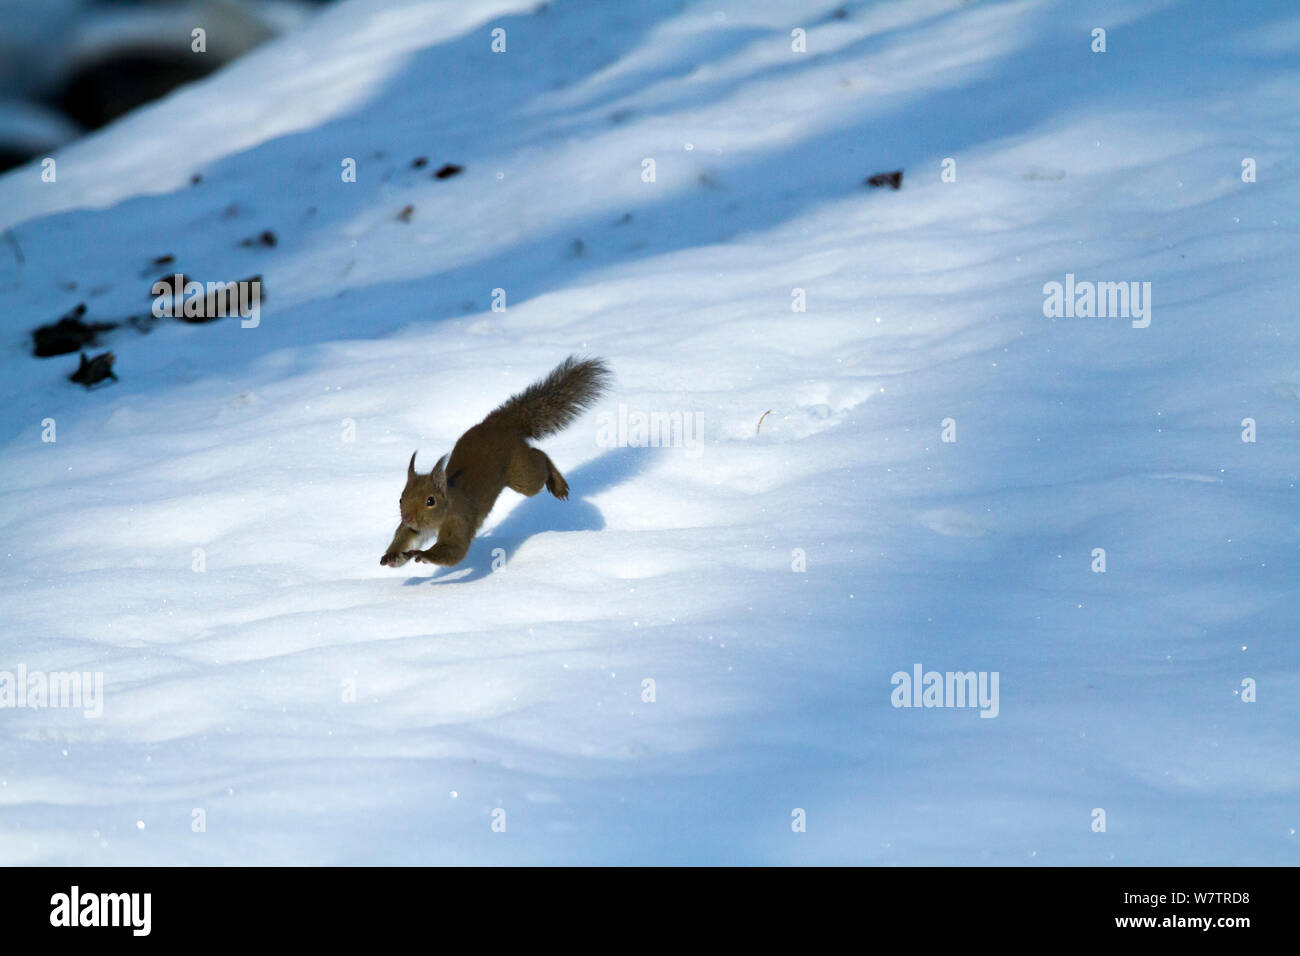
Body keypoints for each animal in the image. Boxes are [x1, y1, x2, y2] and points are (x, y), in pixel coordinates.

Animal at [380, 355, 611, 570]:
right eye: (400, 499)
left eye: (431, 501)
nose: (407, 517)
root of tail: (501, 423)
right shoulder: (414, 530)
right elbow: (404, 540)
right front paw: (392, 556)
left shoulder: (459, 519)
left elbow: (454, 550)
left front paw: (424, 554)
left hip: (522, 474)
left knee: (540, 458)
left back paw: (558, 484)